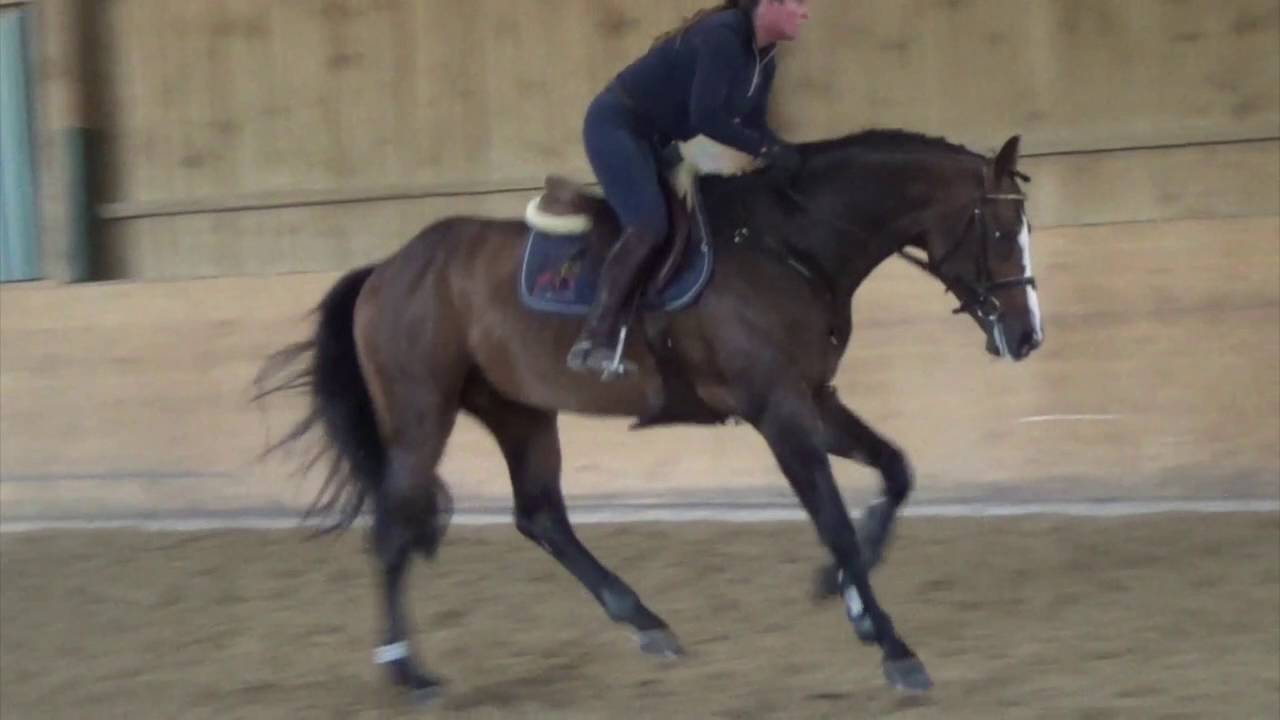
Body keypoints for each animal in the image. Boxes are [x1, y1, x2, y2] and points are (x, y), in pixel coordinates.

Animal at [253, 128, 1043, 702]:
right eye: (1003, 233)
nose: (1027, 335)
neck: (789, 244)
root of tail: (386, 269)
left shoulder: (815, 400)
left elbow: (894, 473)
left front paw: (847, 599)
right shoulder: (779, 410)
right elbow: (836, 522)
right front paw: (896, 650)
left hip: (519, 409)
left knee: (540, 516)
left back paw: (646, 624)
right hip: (422, 413)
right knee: (395, 527)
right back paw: (409, 672)